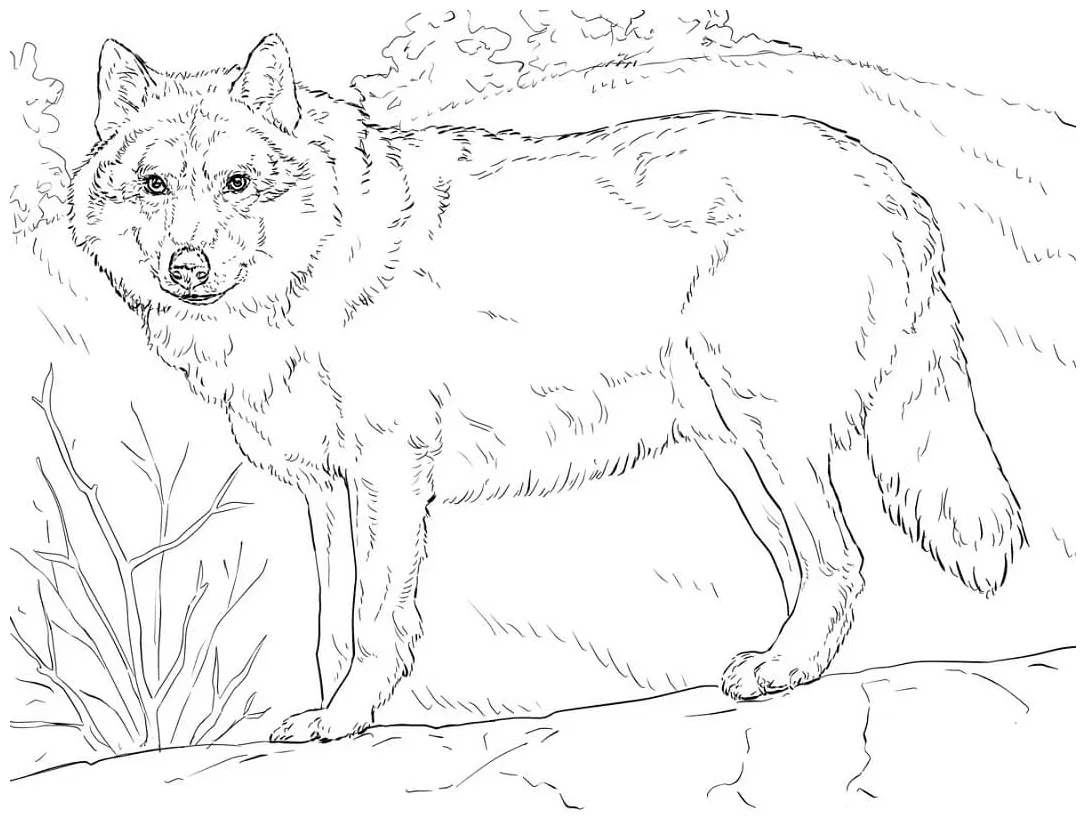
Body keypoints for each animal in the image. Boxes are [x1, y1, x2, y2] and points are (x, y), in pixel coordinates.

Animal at [70, 34, 1025, 741]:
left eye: (236, 183)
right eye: (154, 186)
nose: (186, 268)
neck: (316, 269)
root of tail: (895, 181)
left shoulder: (388, 473)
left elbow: (376, 619)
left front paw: (346, 719)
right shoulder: (324, 488)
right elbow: (330, 622)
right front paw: (326, 714)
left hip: (769, 440)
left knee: (840, 560)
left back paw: (785, 672)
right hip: (736, 454)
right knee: (810, 567)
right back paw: (774, 670)